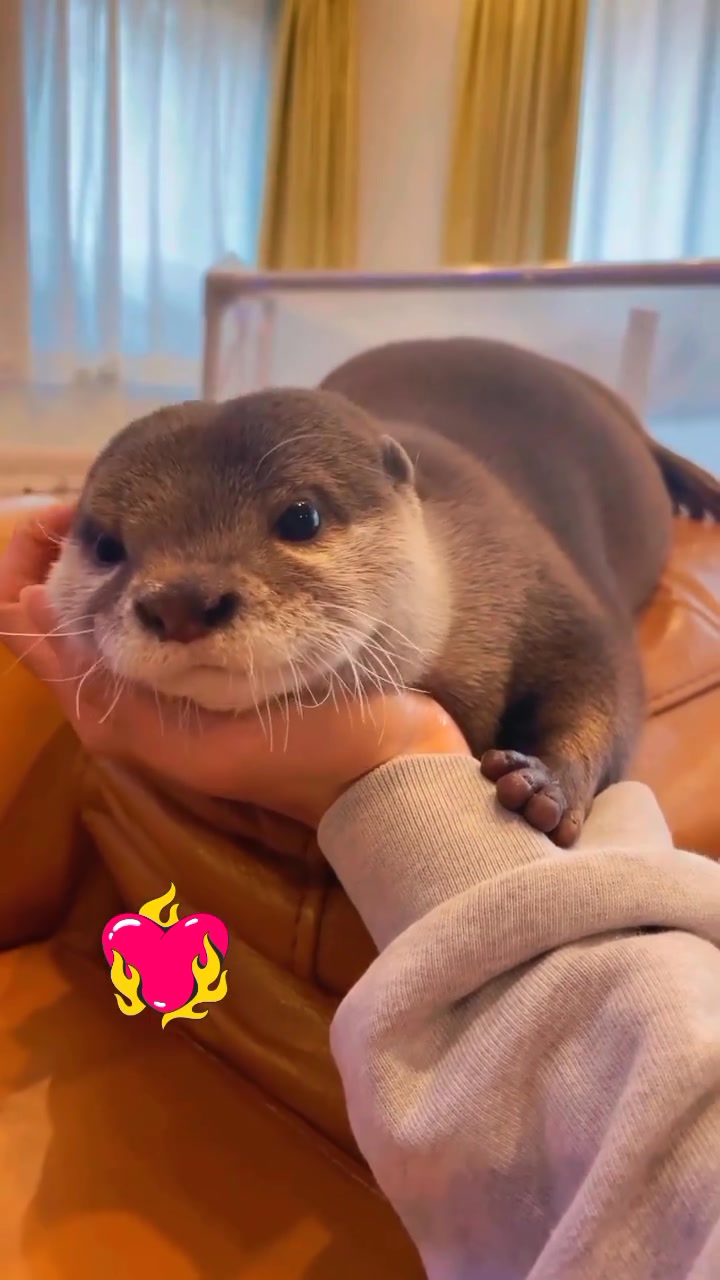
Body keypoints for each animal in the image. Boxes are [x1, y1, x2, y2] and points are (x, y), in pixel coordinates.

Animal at [47, 337, 720, 846]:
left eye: (301, 517)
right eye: (107, 545)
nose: (180, 602)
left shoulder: (558, 593)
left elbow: (610, 689)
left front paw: (544, 785)